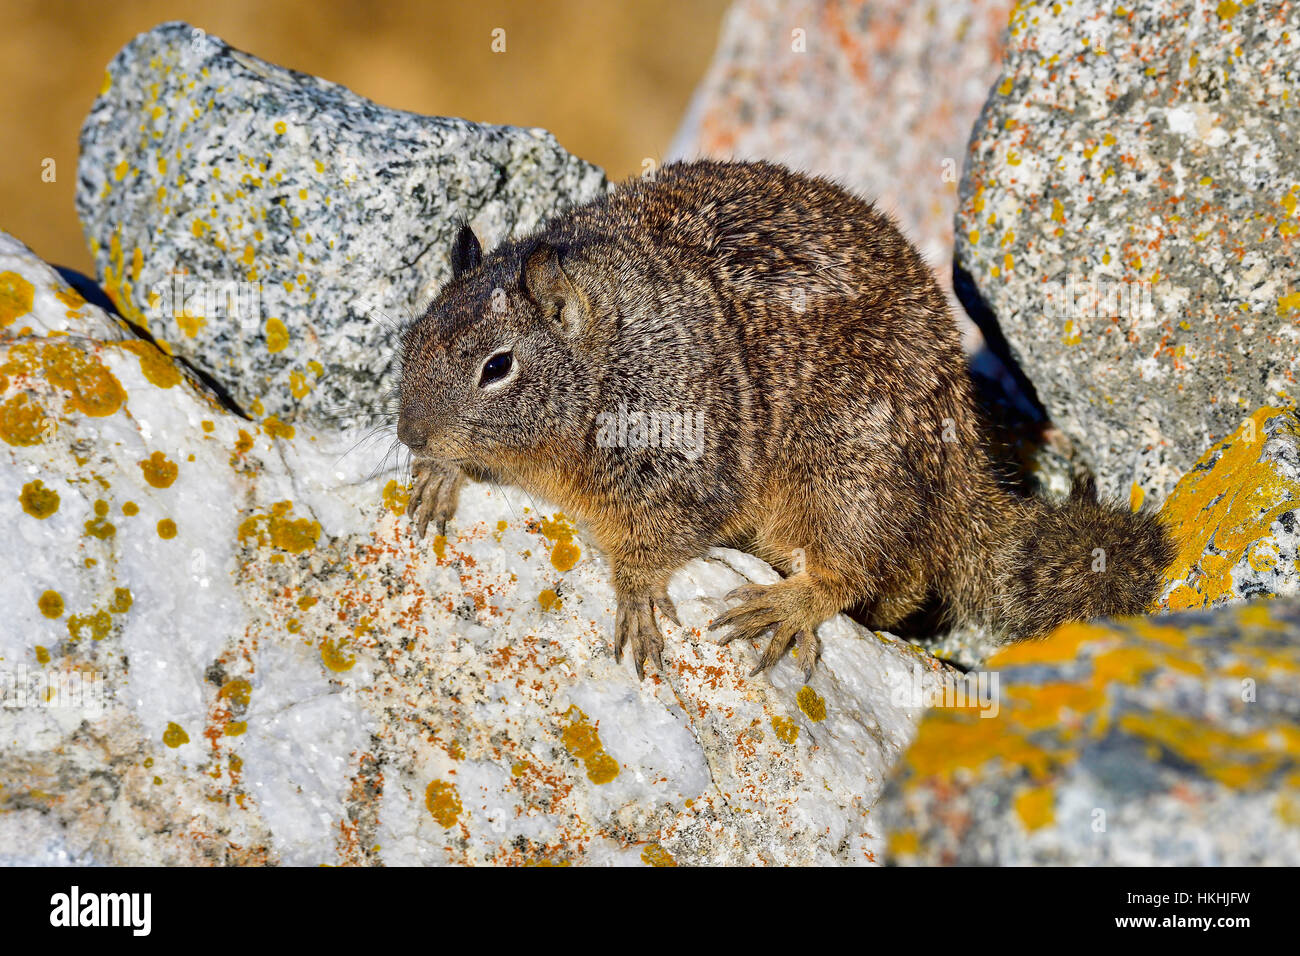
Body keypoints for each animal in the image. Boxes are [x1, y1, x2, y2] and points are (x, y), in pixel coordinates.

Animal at [396, 159, 1174, 681]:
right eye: (411, 336)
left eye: (497, 366)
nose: (408, 434)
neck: (611, 350)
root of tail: (967, 474)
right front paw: (436, 476)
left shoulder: (677, 445)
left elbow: (658, 535)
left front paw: (637, 596)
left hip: (844, 470)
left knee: (856, 570)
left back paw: (786, 603)